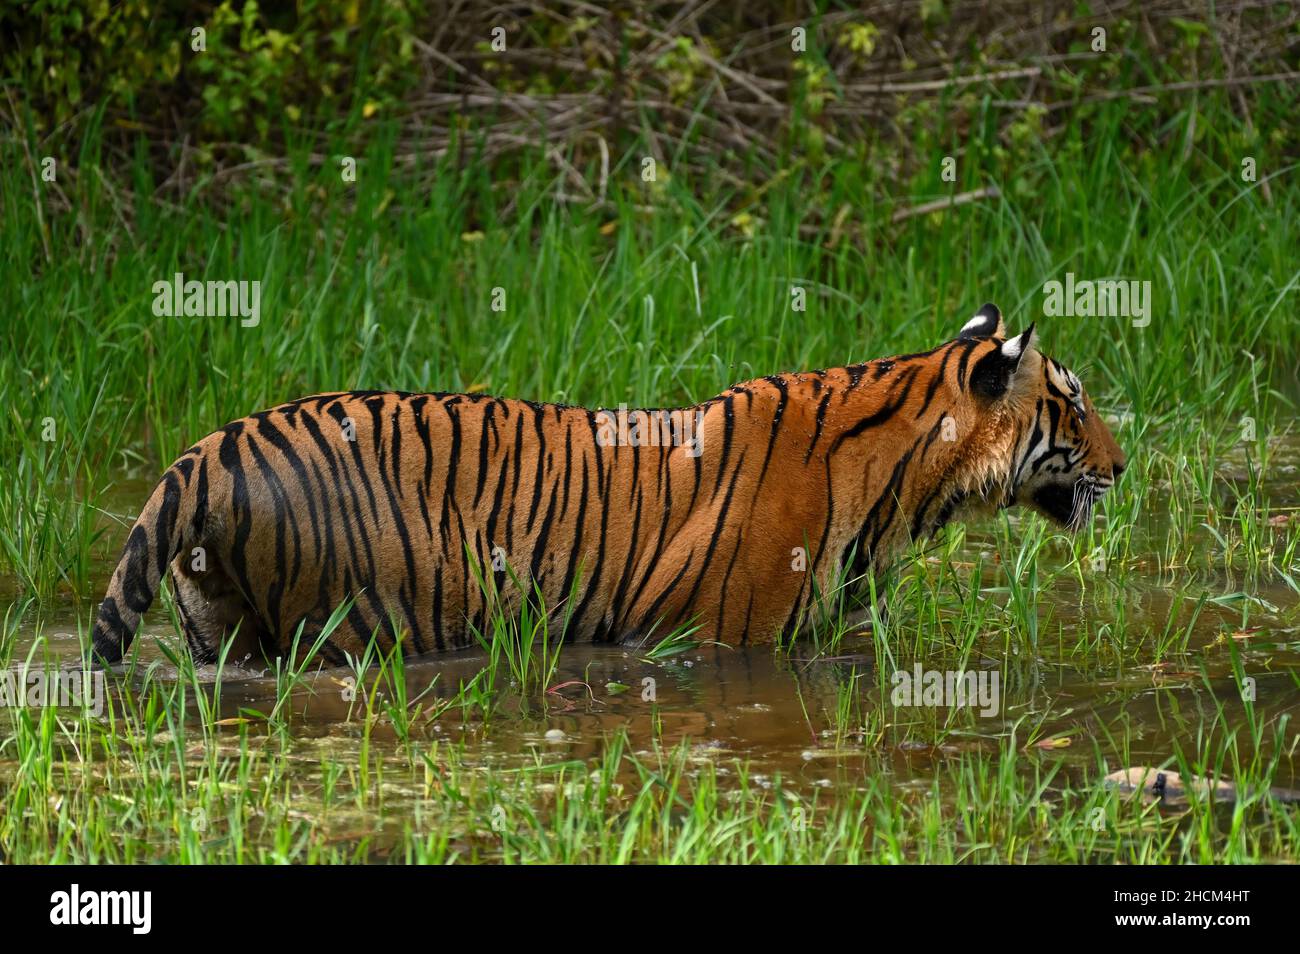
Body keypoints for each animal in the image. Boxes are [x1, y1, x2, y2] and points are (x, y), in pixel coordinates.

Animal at [91, 303, 1125, 666]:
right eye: (1074, 405)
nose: (1124, 468)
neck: (913, 487)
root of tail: (206, 450)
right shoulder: (725, 637)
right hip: (340, 624)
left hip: (220, 629)